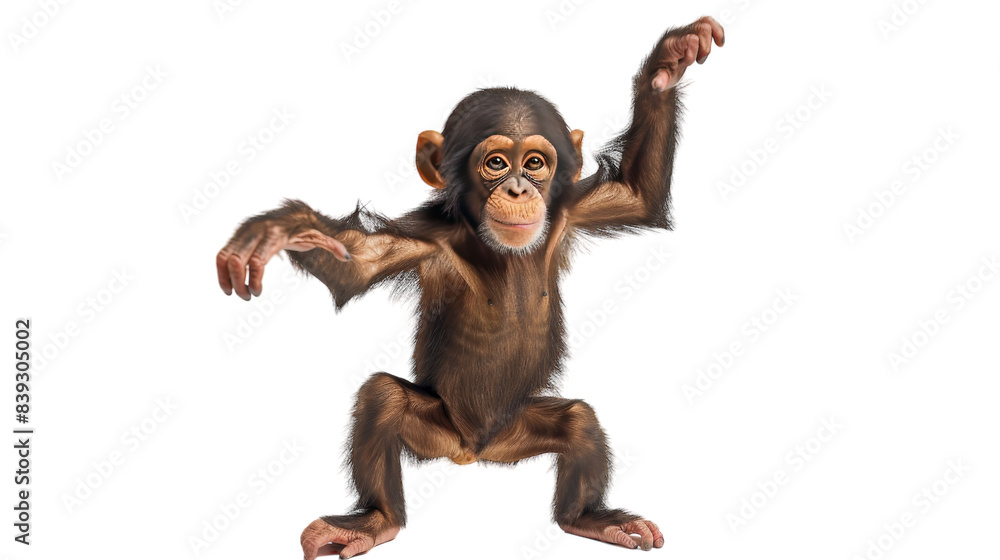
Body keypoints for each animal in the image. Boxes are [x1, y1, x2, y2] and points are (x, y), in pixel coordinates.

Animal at [216, 16, 723, 558]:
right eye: (496, 163)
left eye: (536, 163)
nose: (519, 190)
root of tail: (474, 450)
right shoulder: (423, 240)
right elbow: (353, 260)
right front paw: (280, 229)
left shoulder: (572, 211)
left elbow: (636, 194)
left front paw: (669, 63)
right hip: (438, 432)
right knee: (383, 397)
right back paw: (374, 521)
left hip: (519, 430)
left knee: (579, 422)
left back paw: (589, 519)